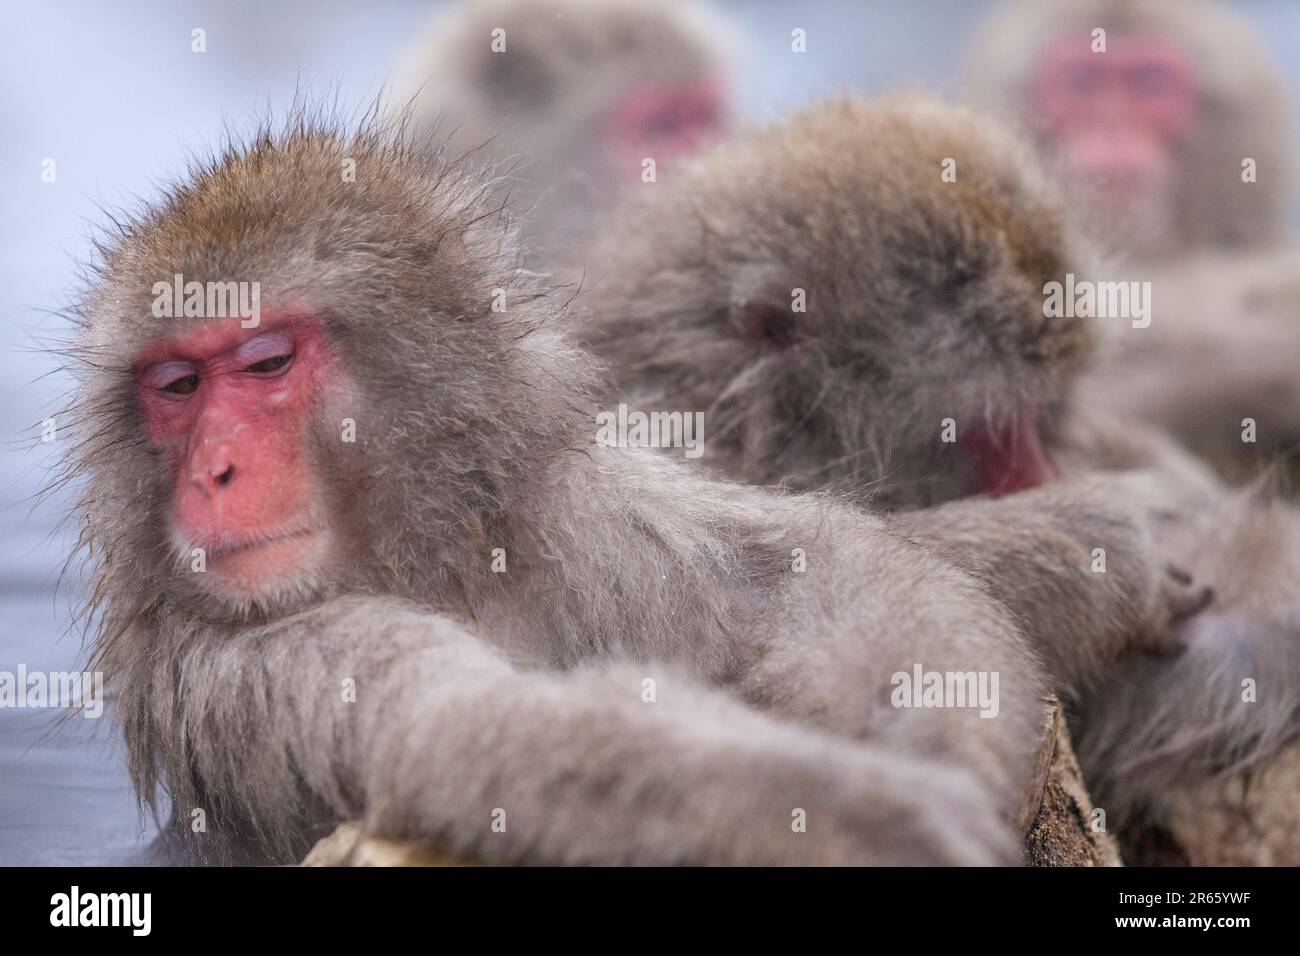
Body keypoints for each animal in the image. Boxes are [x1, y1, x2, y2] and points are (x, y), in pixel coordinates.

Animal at [53, 108, 1201, 866]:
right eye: (175, 386)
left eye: (263, 362)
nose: (212, 470)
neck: (429, 559)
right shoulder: (233, 663)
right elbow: (469, 730)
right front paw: (864, 812)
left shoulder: (570, 511)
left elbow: (823, 574)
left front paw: (946, 742)